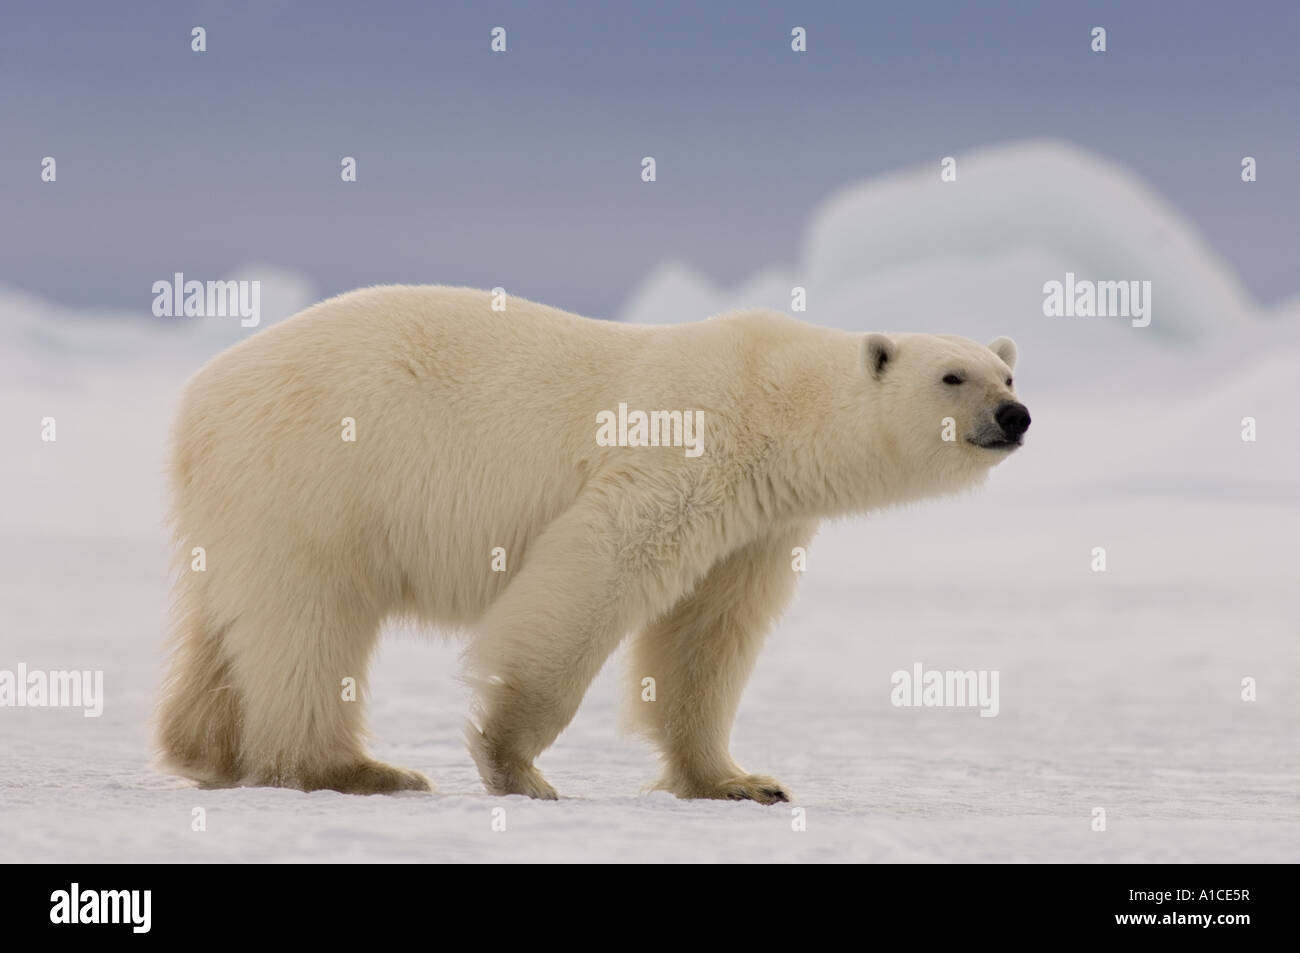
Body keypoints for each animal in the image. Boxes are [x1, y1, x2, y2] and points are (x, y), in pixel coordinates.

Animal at [155, 284, 1029, 802]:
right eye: (953, 376)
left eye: (1008, 374)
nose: (1014, 416)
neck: (777, 397)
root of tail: (199, 398)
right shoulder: (687, 445)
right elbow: (596, 569)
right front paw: (513, 763)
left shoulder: (760, 524)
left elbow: (707, 634)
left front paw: (739, 780)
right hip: (317, 473)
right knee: (309, 620)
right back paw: (353, 769)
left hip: (245, 498)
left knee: (225, 620)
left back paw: (205, 748)